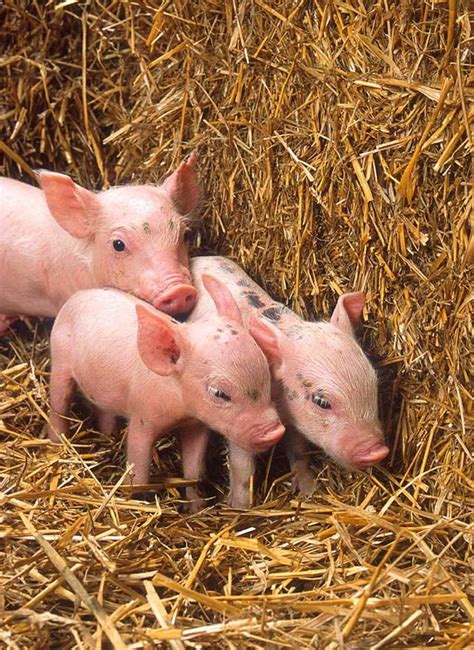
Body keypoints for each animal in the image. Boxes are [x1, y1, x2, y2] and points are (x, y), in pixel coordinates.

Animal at [46, 276, 285, 509]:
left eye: (265, 372)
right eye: (218, 392)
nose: (275, 431)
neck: (179, 410)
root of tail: (78, 295)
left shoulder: (196, 424)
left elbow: (193, 470)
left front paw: (196, 508)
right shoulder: (141, 418)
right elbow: (139, 466)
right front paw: (139, 501)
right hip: (60, 359)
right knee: (58, 405)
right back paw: (57, 442)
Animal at [183, 256, 389, 508]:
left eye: (374, 384)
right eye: (322, 401)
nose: (378, 452)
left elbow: (298, 450)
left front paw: (309, 491)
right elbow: (243, 466)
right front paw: (240, 508)